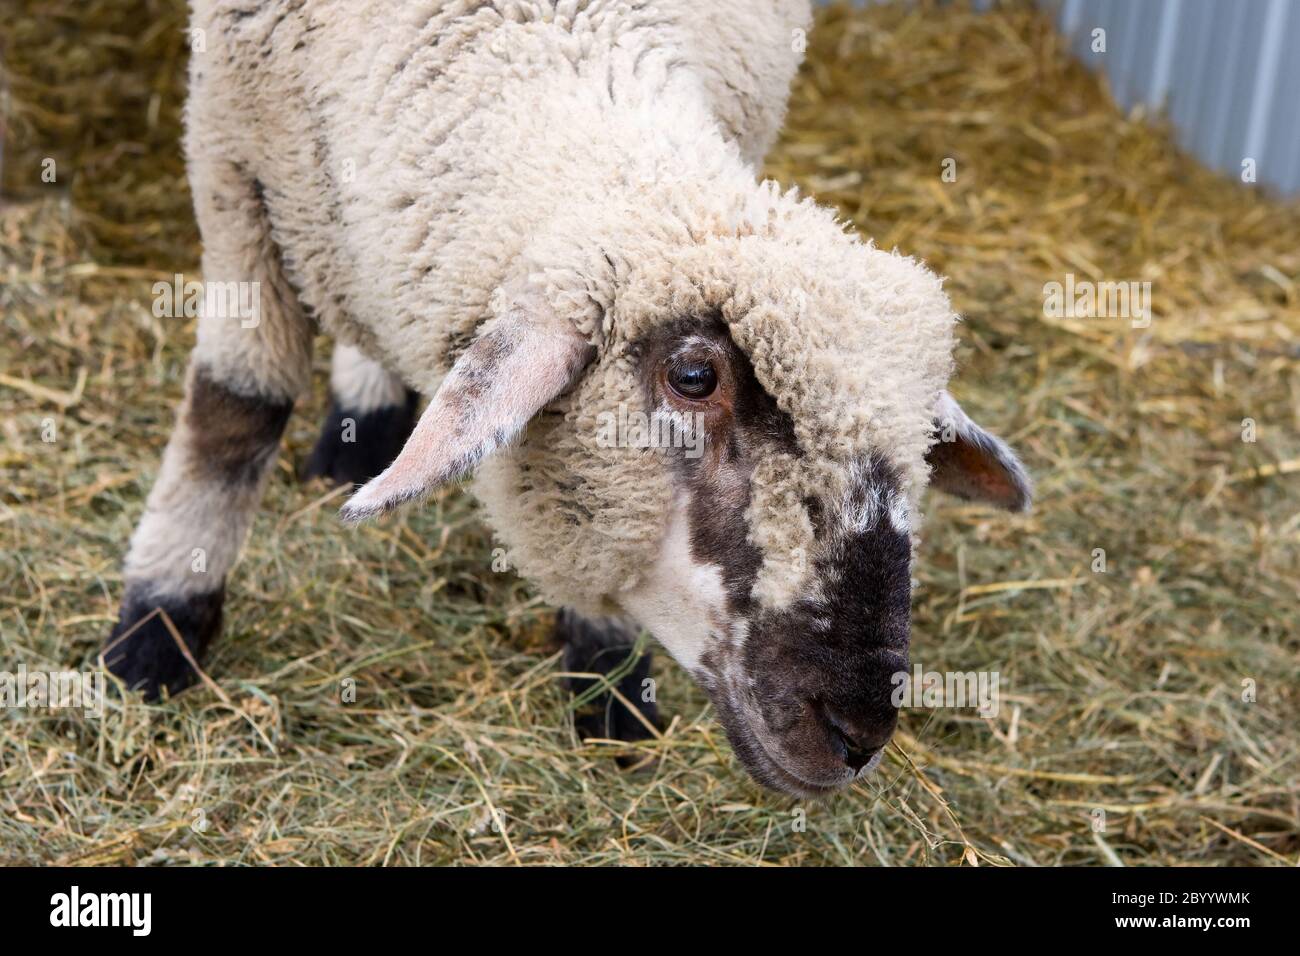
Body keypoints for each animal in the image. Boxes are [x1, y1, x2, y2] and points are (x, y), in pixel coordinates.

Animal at [106, 0, 1031, 798]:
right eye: (694, 378)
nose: (856, 730)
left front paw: (611, 692)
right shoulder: (233, 173)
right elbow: (234, 411)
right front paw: (154, 636)